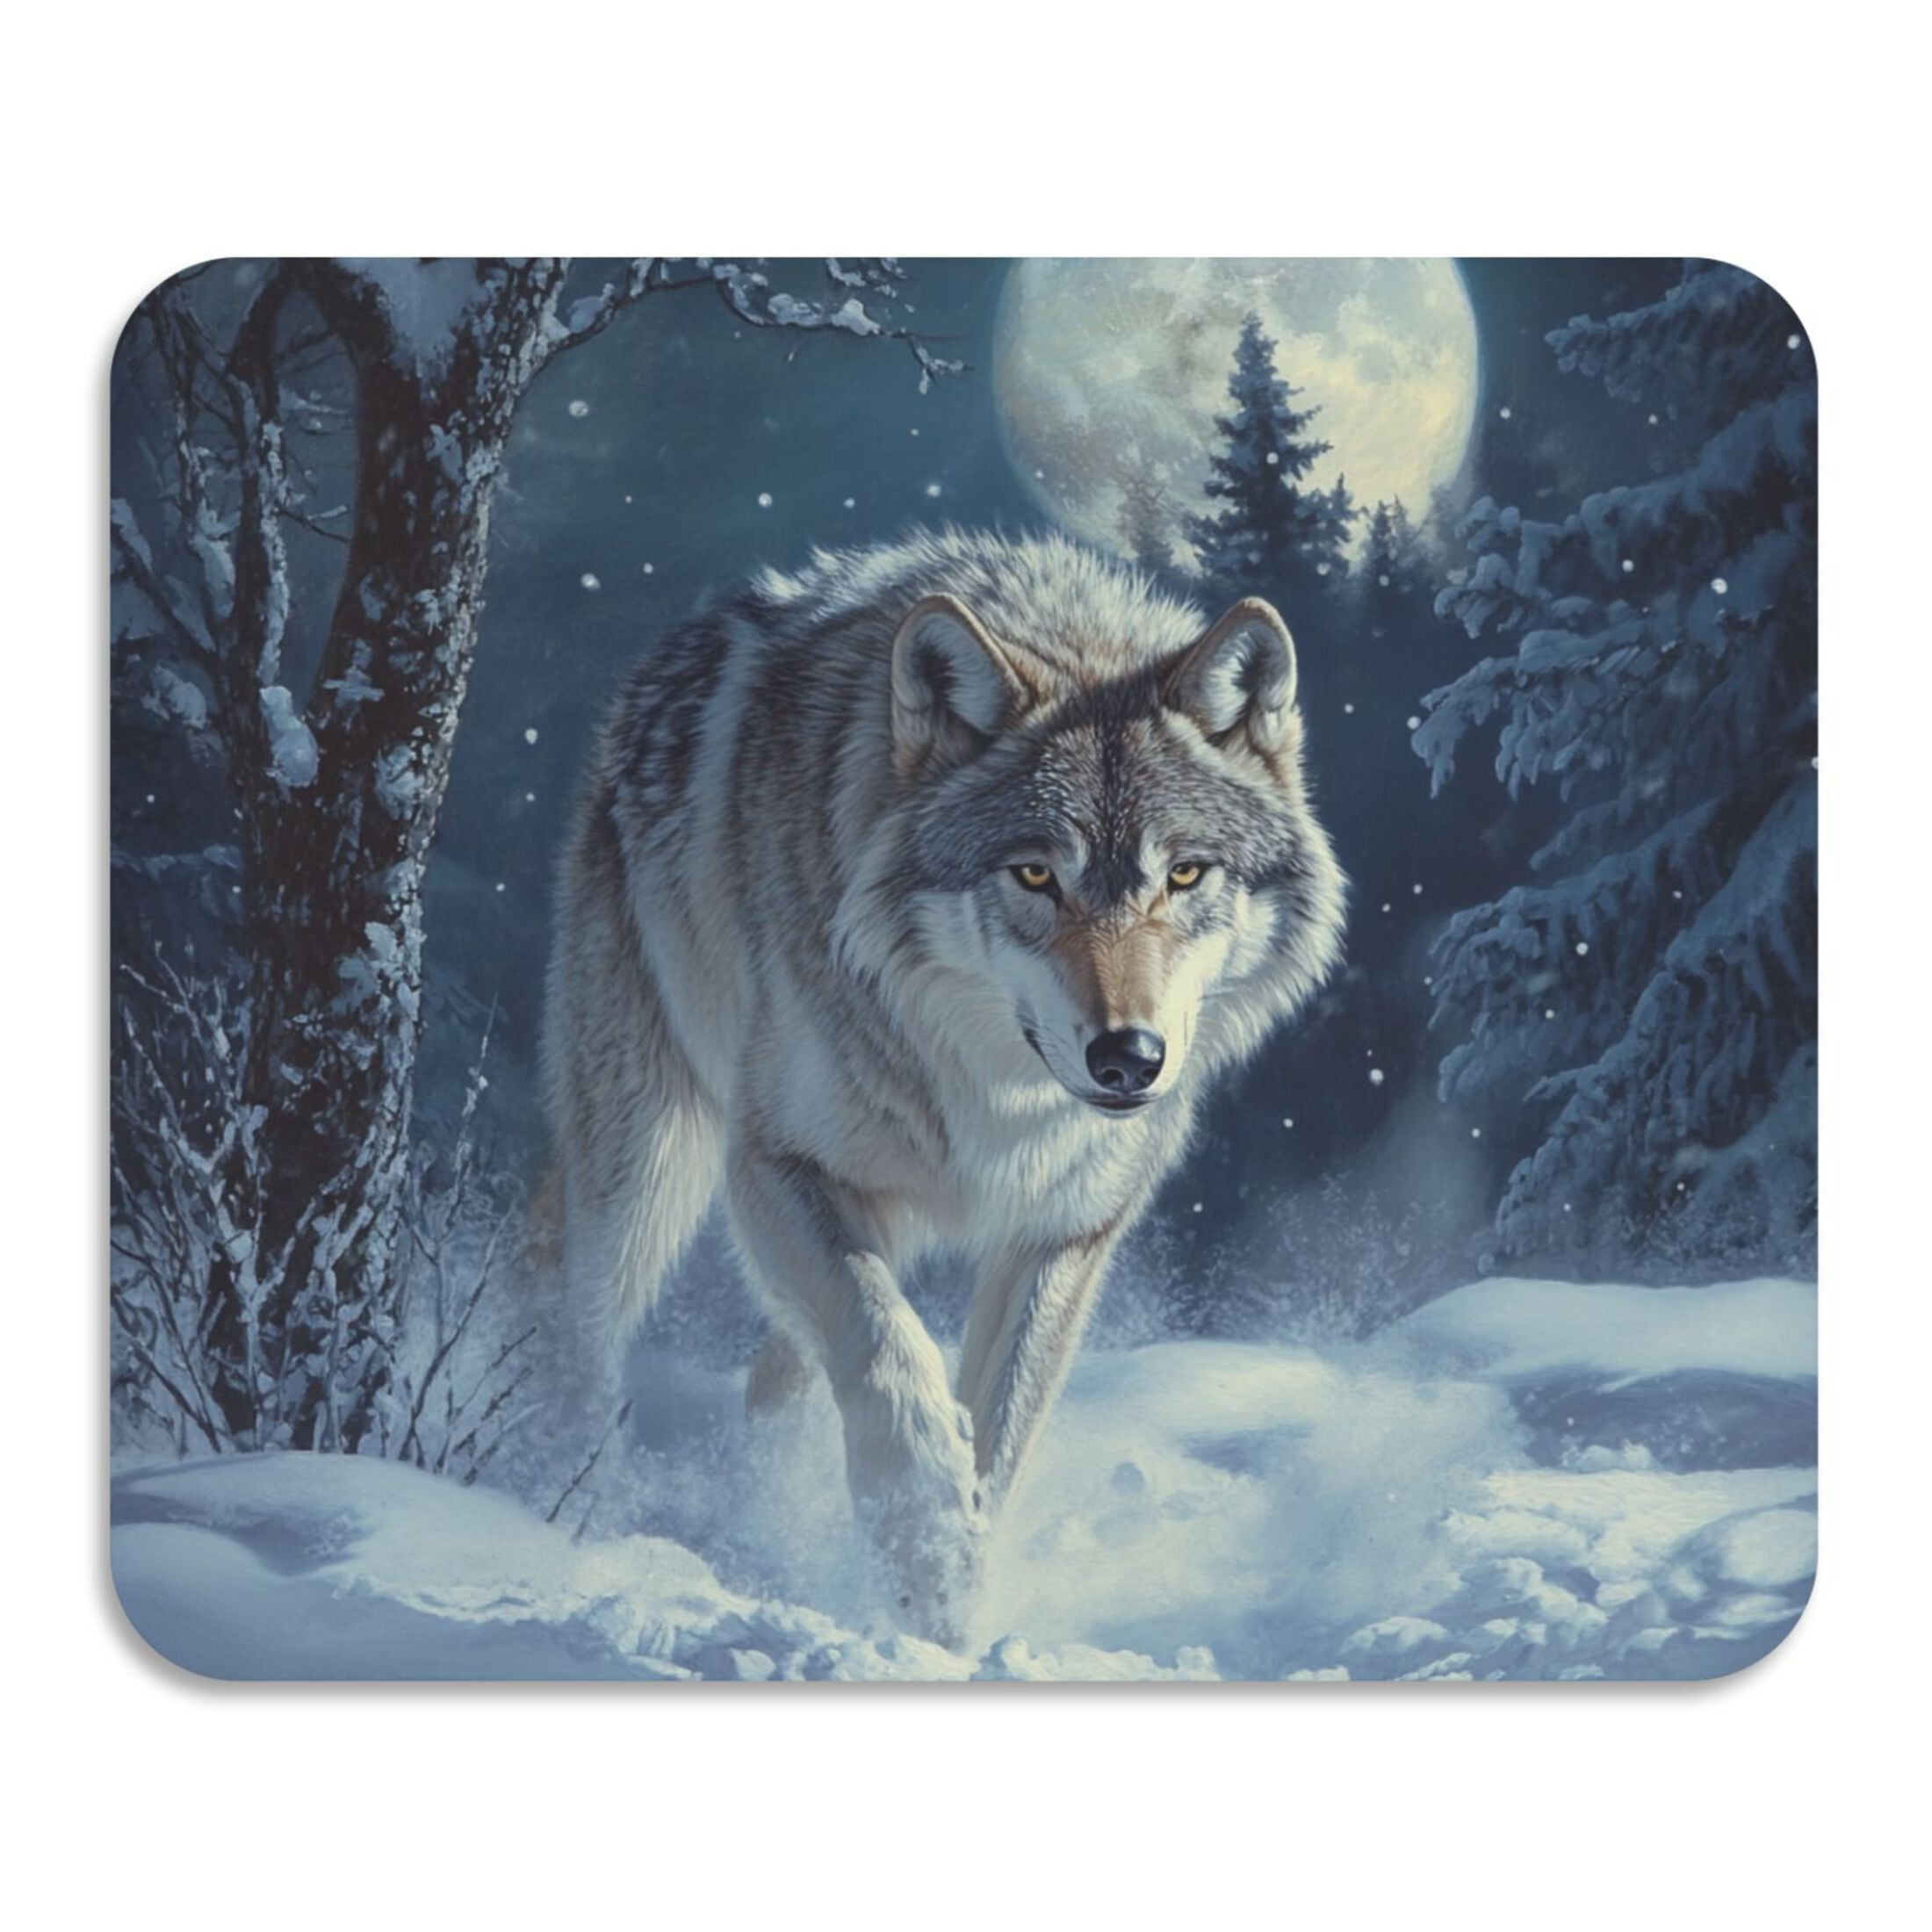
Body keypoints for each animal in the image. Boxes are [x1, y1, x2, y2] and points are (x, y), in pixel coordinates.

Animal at [542, 530, 1345, 1642]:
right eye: (1036, 874)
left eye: (1183, 875)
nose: (1128, 1057)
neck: (998, 1093)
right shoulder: (773, 1160)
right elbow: (890, 1356)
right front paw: (929, 1558)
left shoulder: (1066, 1230)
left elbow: (1000, 1428)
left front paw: (952, 1588)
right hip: (645, 1168)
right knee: (581, 1326)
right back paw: (575, 1509)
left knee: (774, 1376)